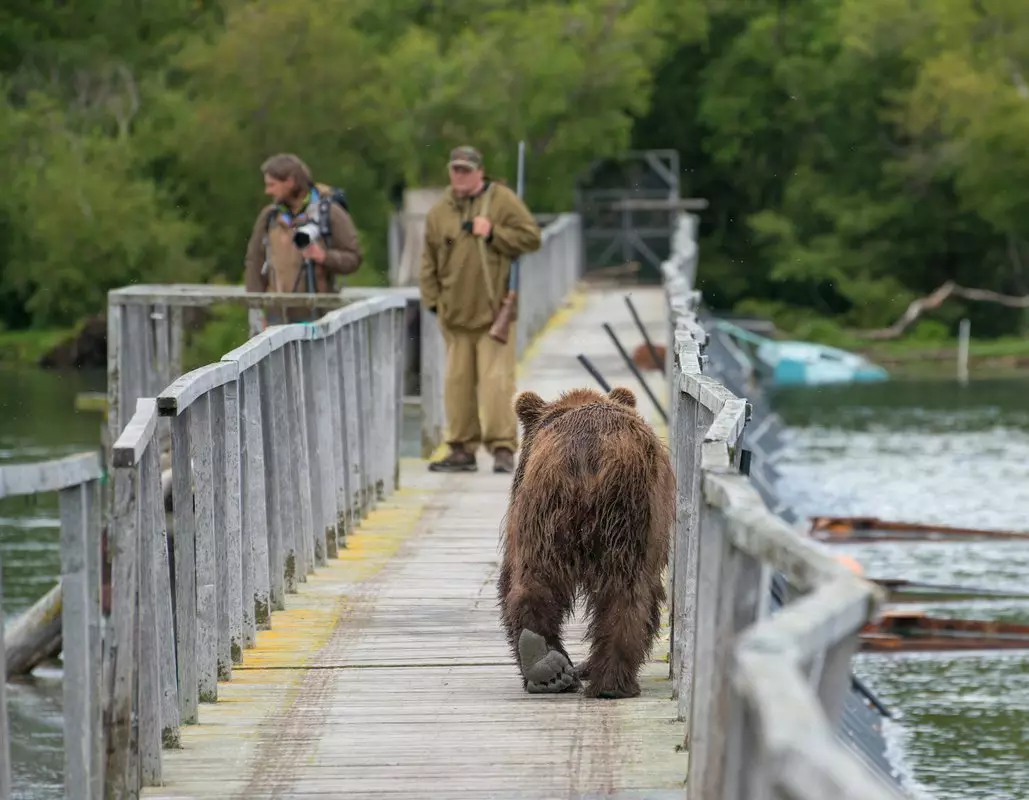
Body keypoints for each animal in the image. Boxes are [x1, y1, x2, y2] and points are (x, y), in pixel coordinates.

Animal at [495, 383, 675, 696]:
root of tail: (589, 451)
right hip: (627, 511)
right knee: (627, 590)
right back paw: (602, 680)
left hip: (549, 508)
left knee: (534, 579)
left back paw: (548, 668)